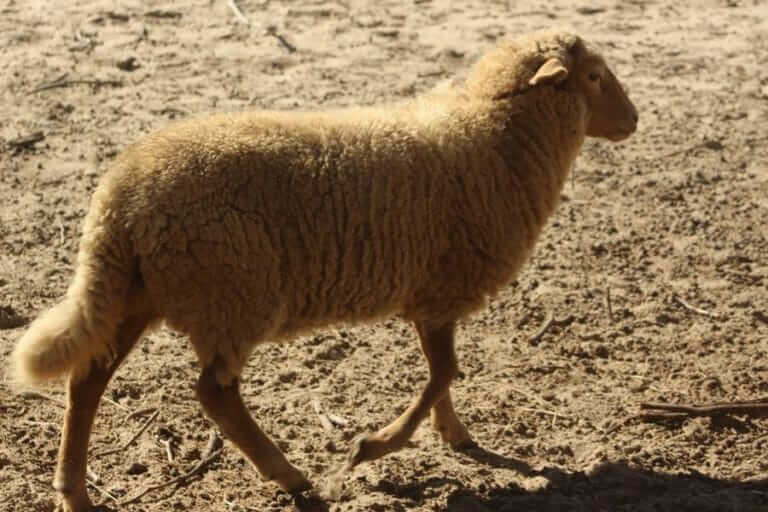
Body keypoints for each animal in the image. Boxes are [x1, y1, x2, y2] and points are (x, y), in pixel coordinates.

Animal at [11, 30, 637, 511]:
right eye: (594, 77)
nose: (633, 119)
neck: (493, 137)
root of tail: (118, 199)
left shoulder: (436, 295)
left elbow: (444, 378)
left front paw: (455, 435)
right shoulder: (437, 294)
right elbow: (442, 374)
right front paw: (374, 446)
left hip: (139, 293)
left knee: (87, 381)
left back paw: (74, 493)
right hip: (232, 294)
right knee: (214, 393)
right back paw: (290, 476)